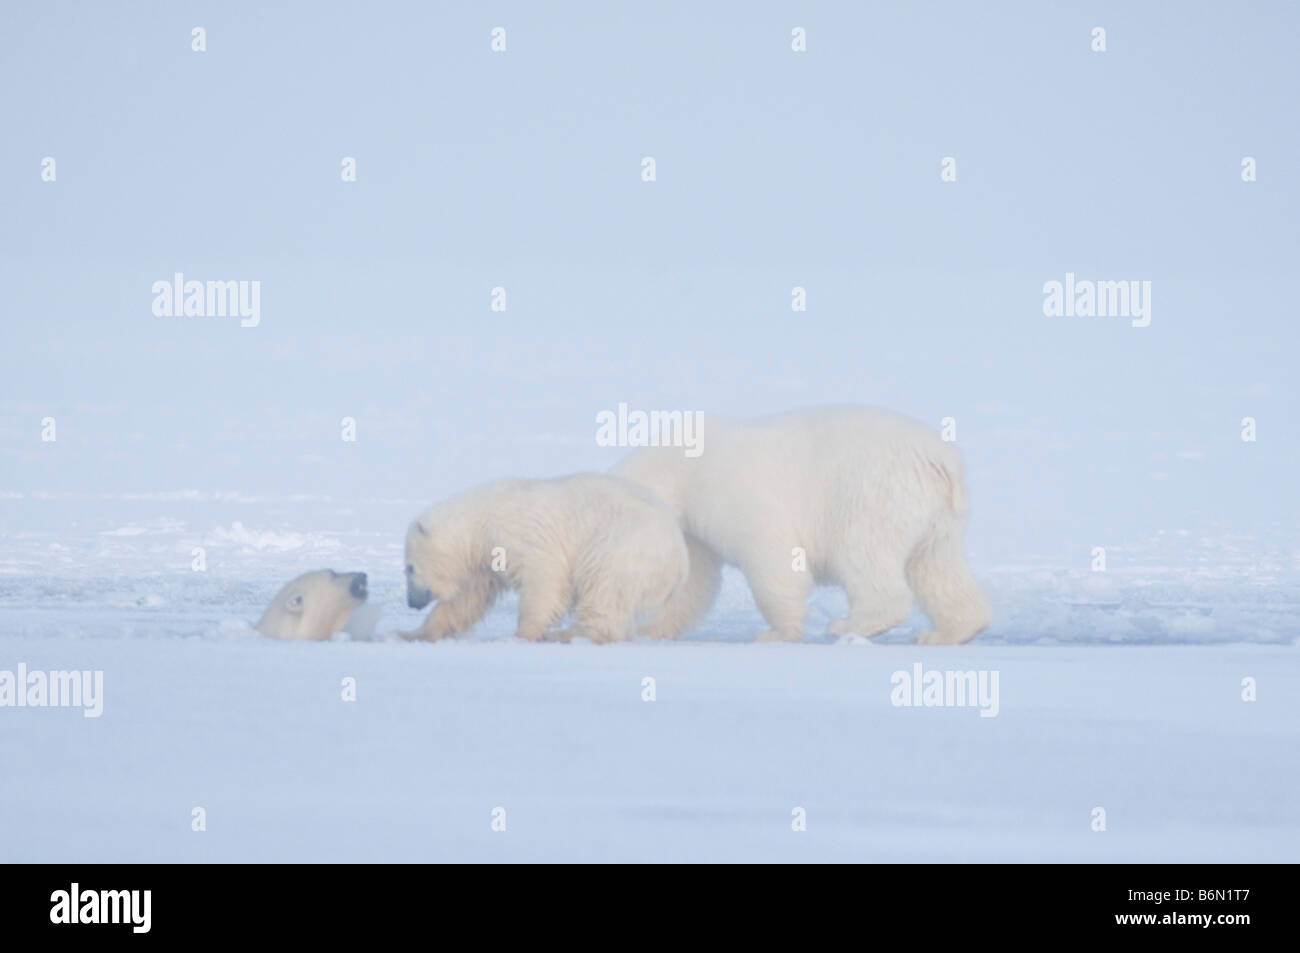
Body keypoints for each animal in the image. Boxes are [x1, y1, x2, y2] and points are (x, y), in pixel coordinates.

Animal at [402, 474, 689, 644]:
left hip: (620, 548)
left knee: (605, 593)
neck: (482, 522)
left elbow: (544, 579)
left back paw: (565, 634)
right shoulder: (483, 562)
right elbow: (466, 599)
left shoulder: (521, 536)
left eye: (409, 568)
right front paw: (414, 633)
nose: (411, 602)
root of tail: (680, 553)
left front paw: (523, 635)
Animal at [614, 405, 991, 645]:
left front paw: (777, 632)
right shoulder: (691, 529)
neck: (676, 466)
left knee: (863, 557)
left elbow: (771, 554)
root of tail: (940, 461)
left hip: (873, 496)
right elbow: (693, 580)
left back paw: (848, 625)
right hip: (938, 519)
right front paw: (650, 630)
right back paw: (948, 633)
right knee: (936, 567)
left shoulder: (724, 492)